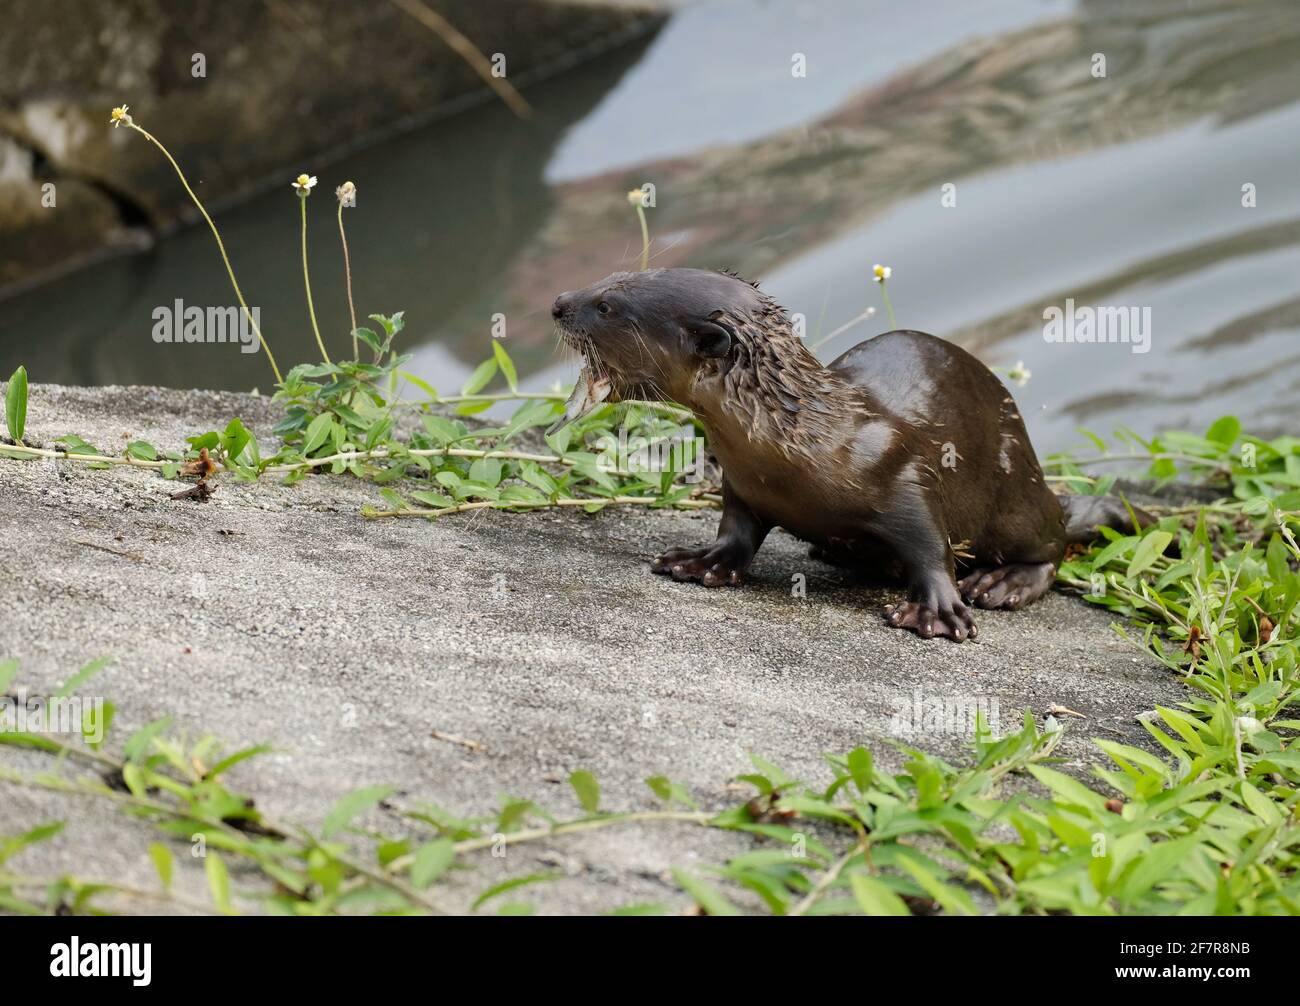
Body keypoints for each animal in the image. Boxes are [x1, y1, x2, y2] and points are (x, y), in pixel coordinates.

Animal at [551, 268, 1144, 641]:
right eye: (607, 282)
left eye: (606, 305)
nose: (557, 304)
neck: (801, 442)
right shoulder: (740, 485)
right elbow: (736, 530)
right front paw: (704, 561)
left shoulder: (905, 473)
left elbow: (931, 547)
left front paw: (938, 610)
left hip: (1015, 492)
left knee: (1055, 540)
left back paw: (1002, 584)